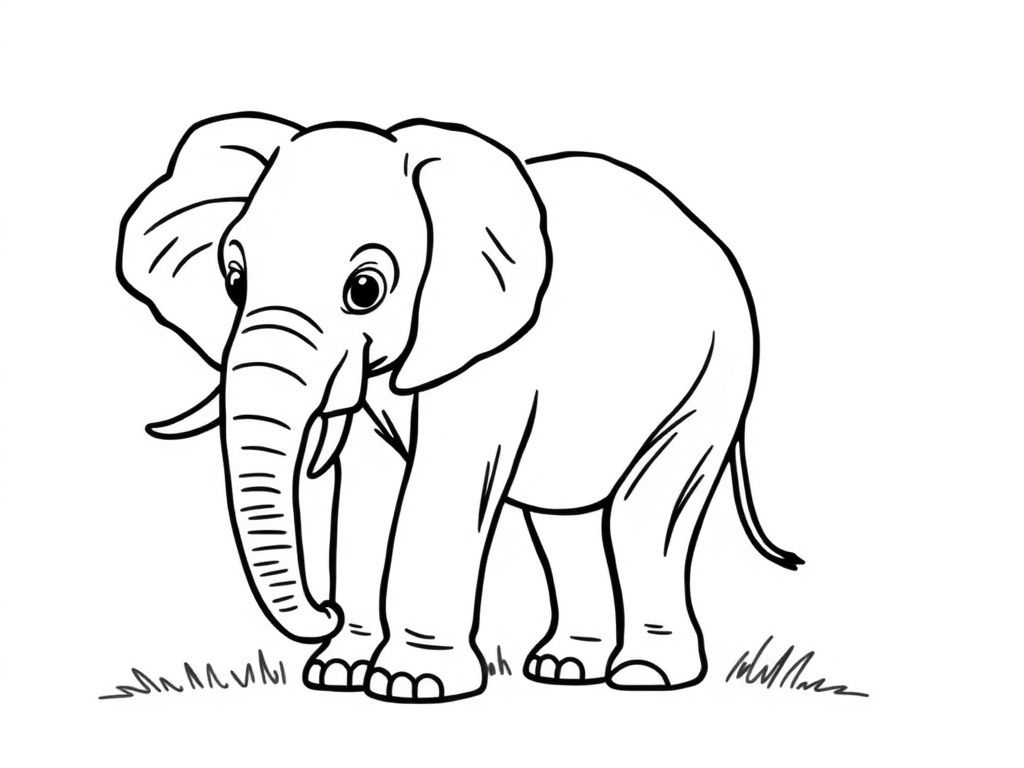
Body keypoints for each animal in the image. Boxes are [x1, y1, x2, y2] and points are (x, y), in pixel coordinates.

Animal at [116, 112, 802, 703]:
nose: (324, 609)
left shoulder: (487, 360)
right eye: (234, 280)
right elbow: (368, 493)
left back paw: (645, 675)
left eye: (364, 289)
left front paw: (411, 685)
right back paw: (564, 668)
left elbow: (442, 486)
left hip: (714, 374)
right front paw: (339, 672)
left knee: (648, 513)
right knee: (566, 525)